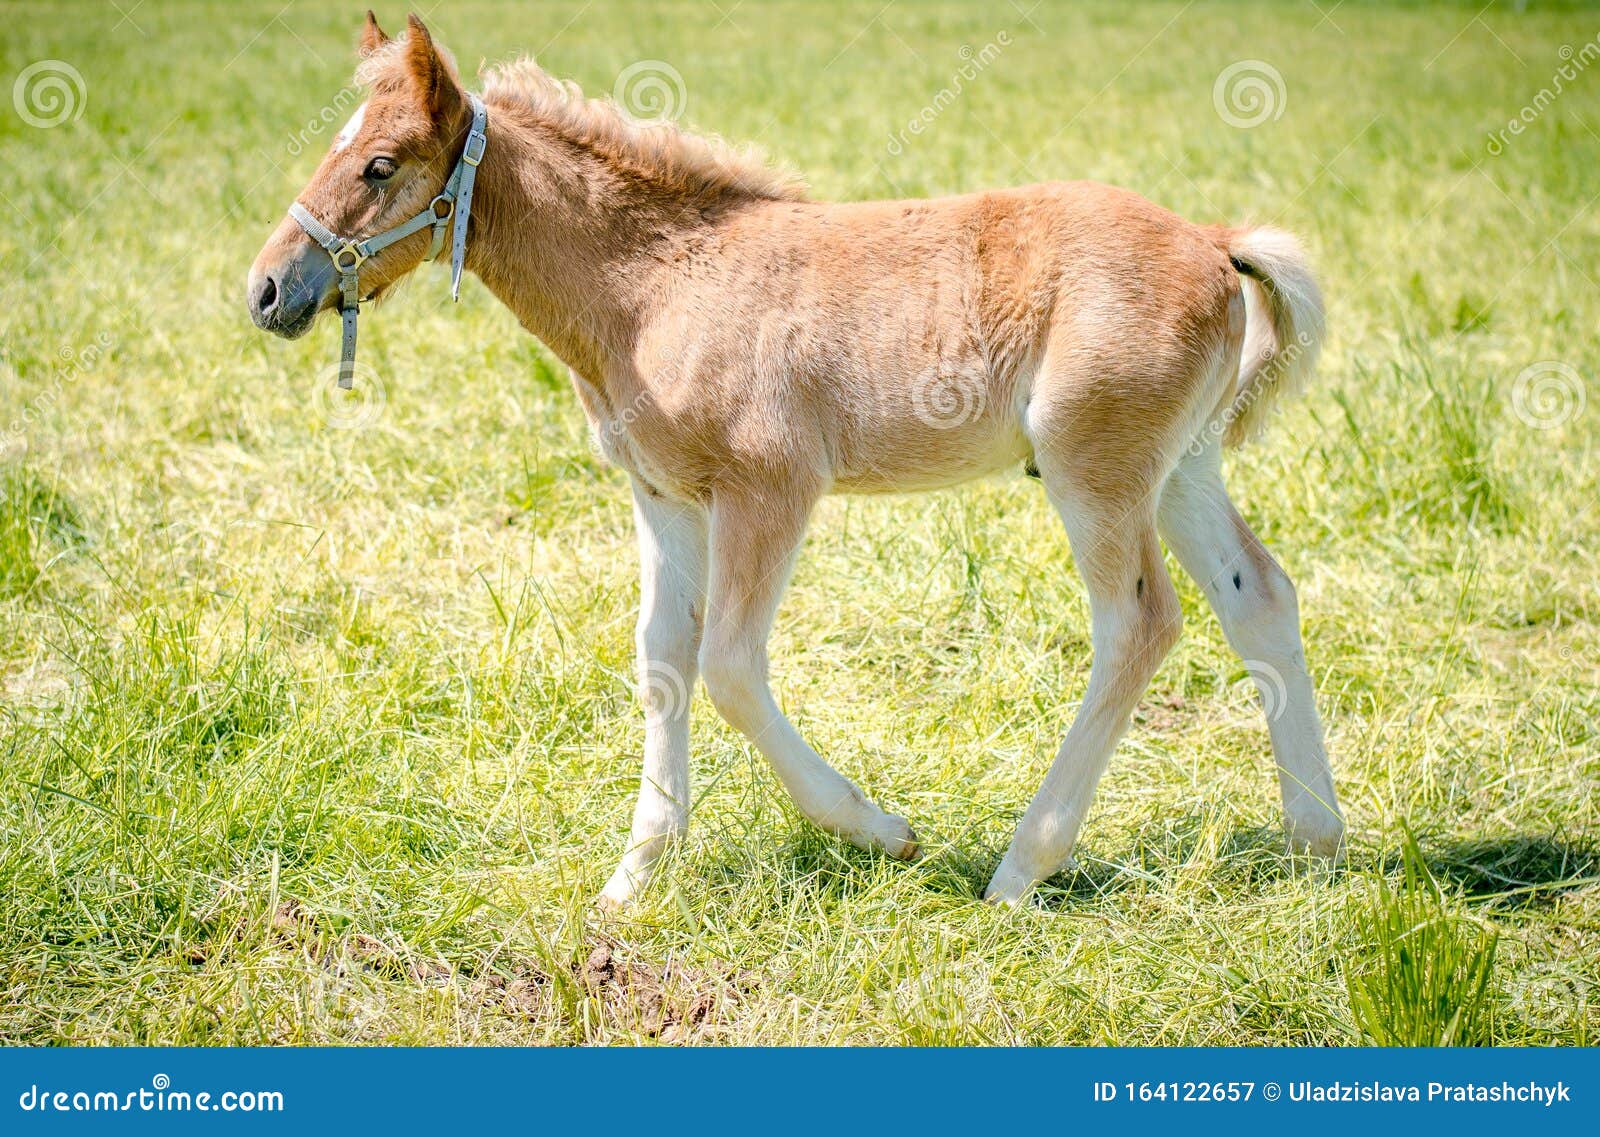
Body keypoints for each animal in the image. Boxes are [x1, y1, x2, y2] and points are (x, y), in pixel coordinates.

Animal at [247, 12, 1345, 907]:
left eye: (380, 163)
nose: (267, 289)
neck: (654, 287)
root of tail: (1211, 240)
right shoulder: (663, 494)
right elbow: (662, 659)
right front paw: (632, 879)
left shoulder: (769, 486)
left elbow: (729, 666)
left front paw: (883, 830)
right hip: (1181, 466)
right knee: (1258, 595)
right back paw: (1316, 840)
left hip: (1094, 469)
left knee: (1136, 625)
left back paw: (1020, 869)